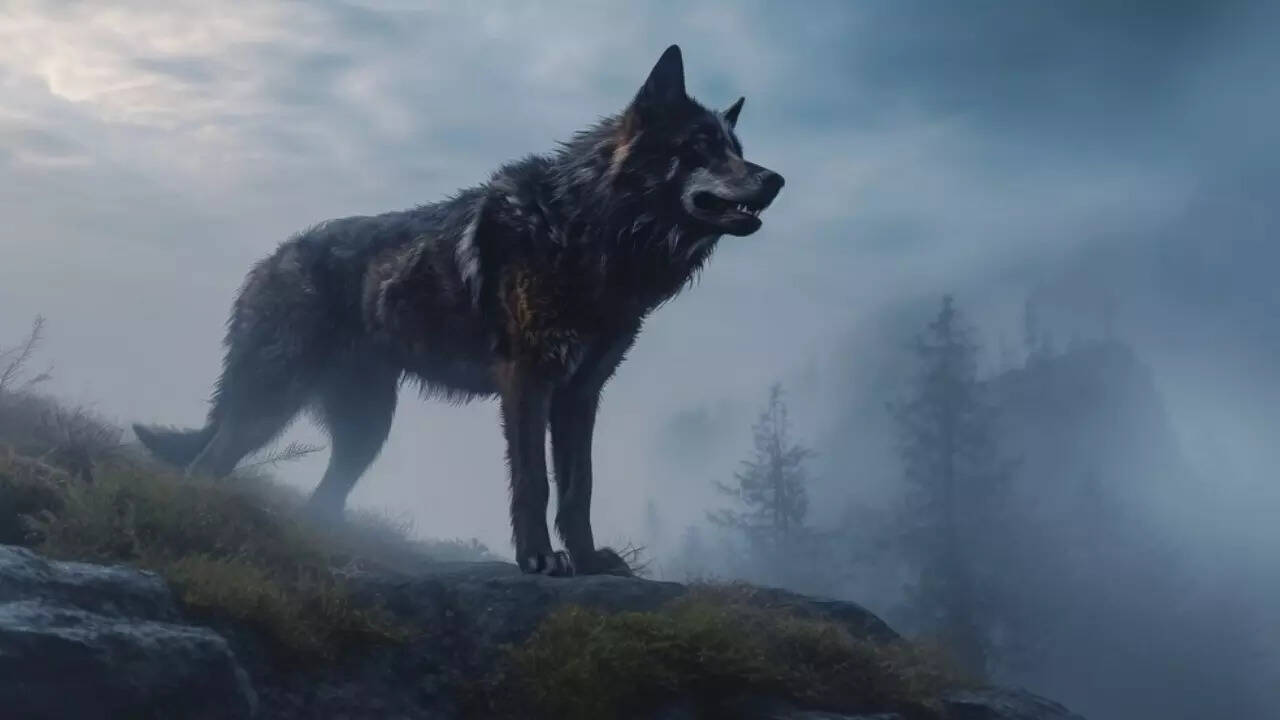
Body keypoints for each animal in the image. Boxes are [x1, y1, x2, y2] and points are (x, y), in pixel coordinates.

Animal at [133, 45, 783, 576]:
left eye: (738, 151)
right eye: (699, 148)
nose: (776, 179)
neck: (589, 231)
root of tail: (270, 258)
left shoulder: (581, 395)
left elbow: (579, 490)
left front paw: (589, 560)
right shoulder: (528, 382)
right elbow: (534, 483)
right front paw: (538, 559)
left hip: (366, 428)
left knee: (320, 499)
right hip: (271, 405)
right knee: (206, 465)